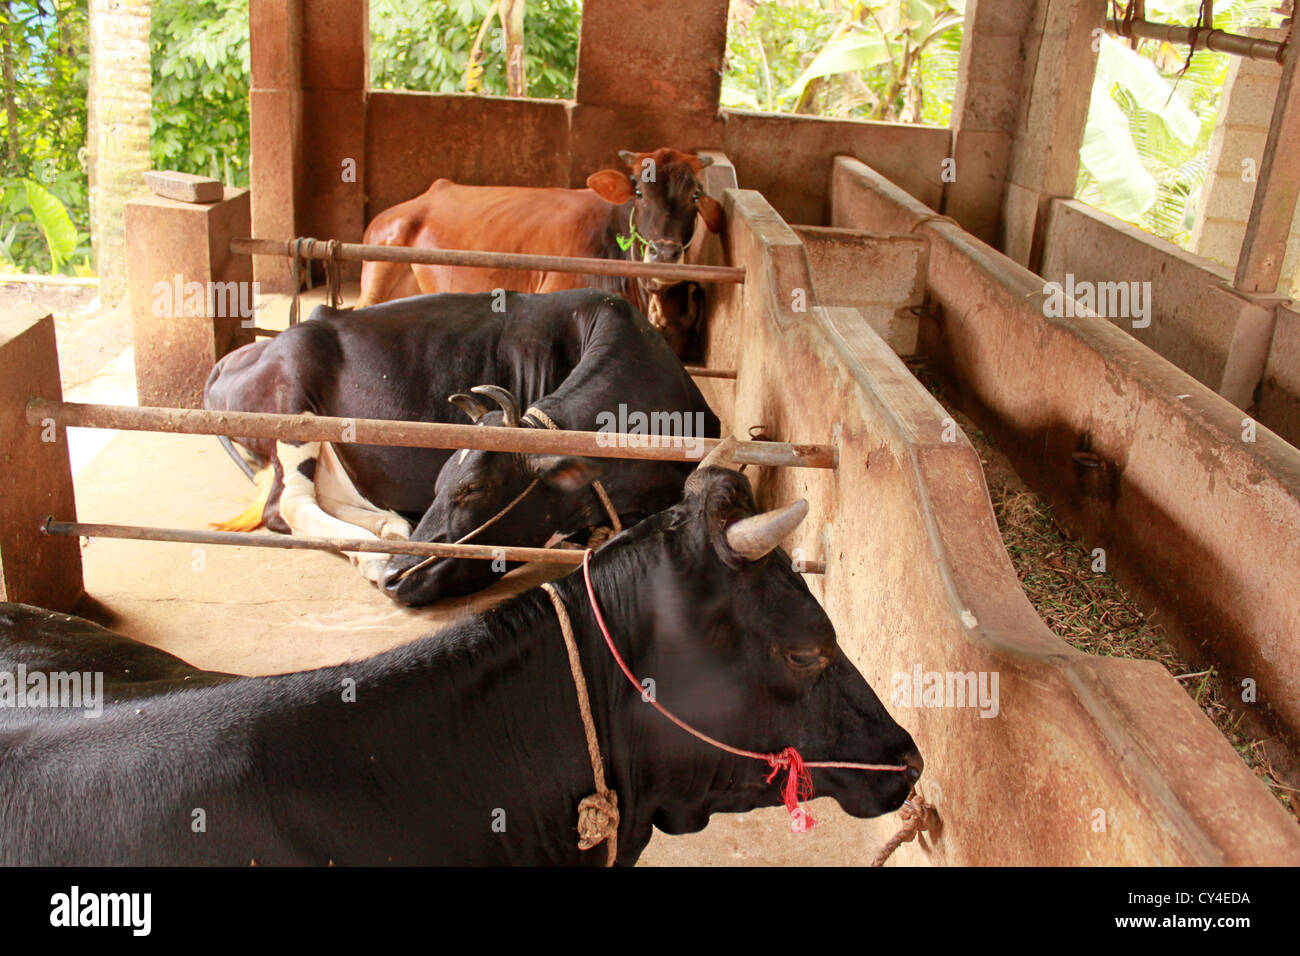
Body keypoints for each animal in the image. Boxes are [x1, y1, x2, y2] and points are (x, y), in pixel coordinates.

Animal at [204, 287, 720, 603]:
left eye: (472, 488)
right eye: (442, 481)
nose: (395, 577)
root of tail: (236, 356)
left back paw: (391, 530)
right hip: (293, 402)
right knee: (288, 504)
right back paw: (373, 554)